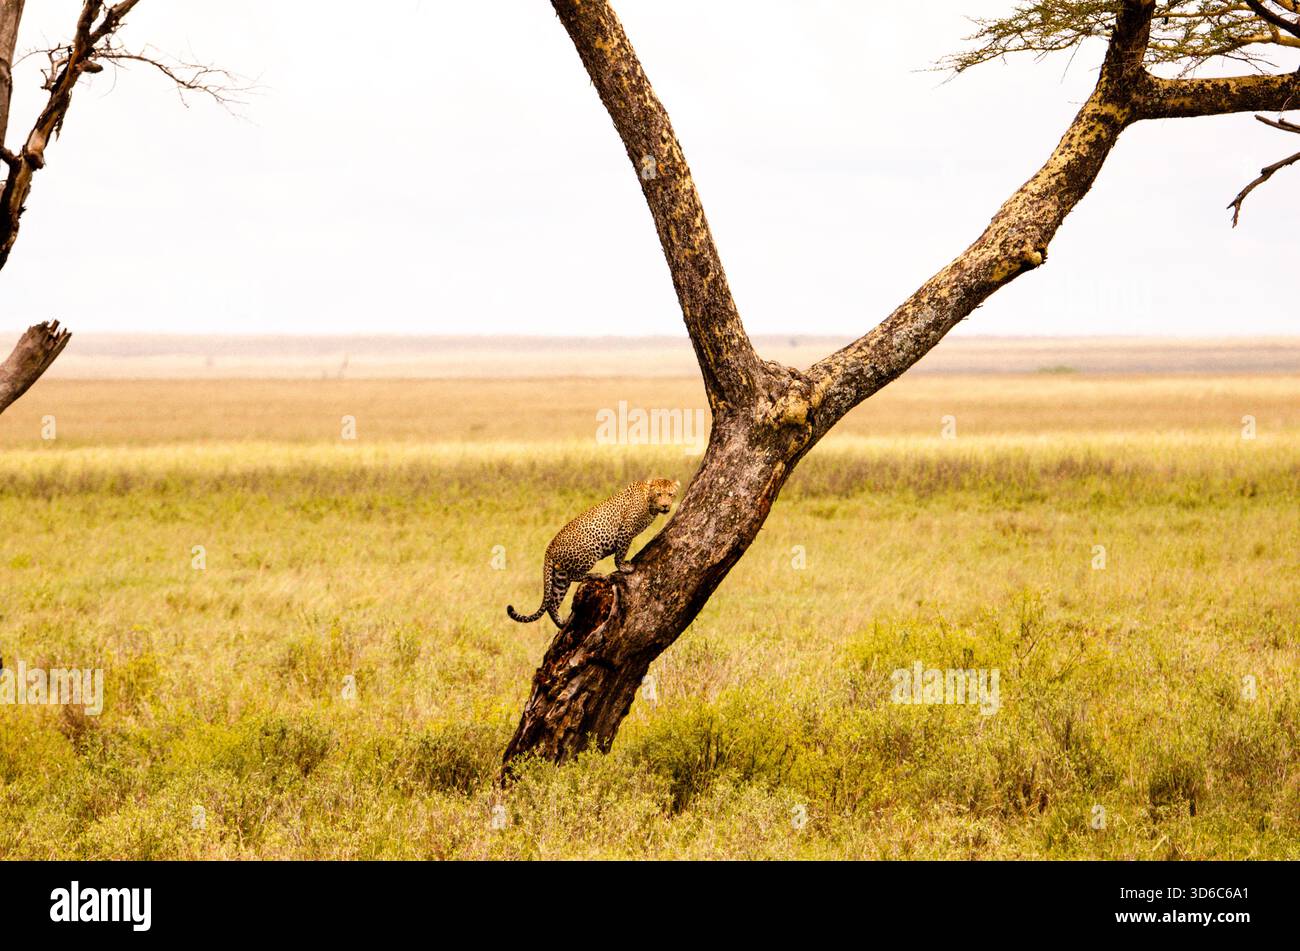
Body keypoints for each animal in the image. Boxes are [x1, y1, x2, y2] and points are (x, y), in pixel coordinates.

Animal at [507, 477, 680, 627]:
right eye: (659, 494)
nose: (665, 505)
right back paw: (596, 575)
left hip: (559, 577)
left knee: (552, 602)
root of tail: (549, 549)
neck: (649, 503)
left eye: (671, 495)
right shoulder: (626, 530)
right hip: (589, 553)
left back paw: (561, 623)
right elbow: (620, 553)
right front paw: (624, 567)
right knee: (574, 576)